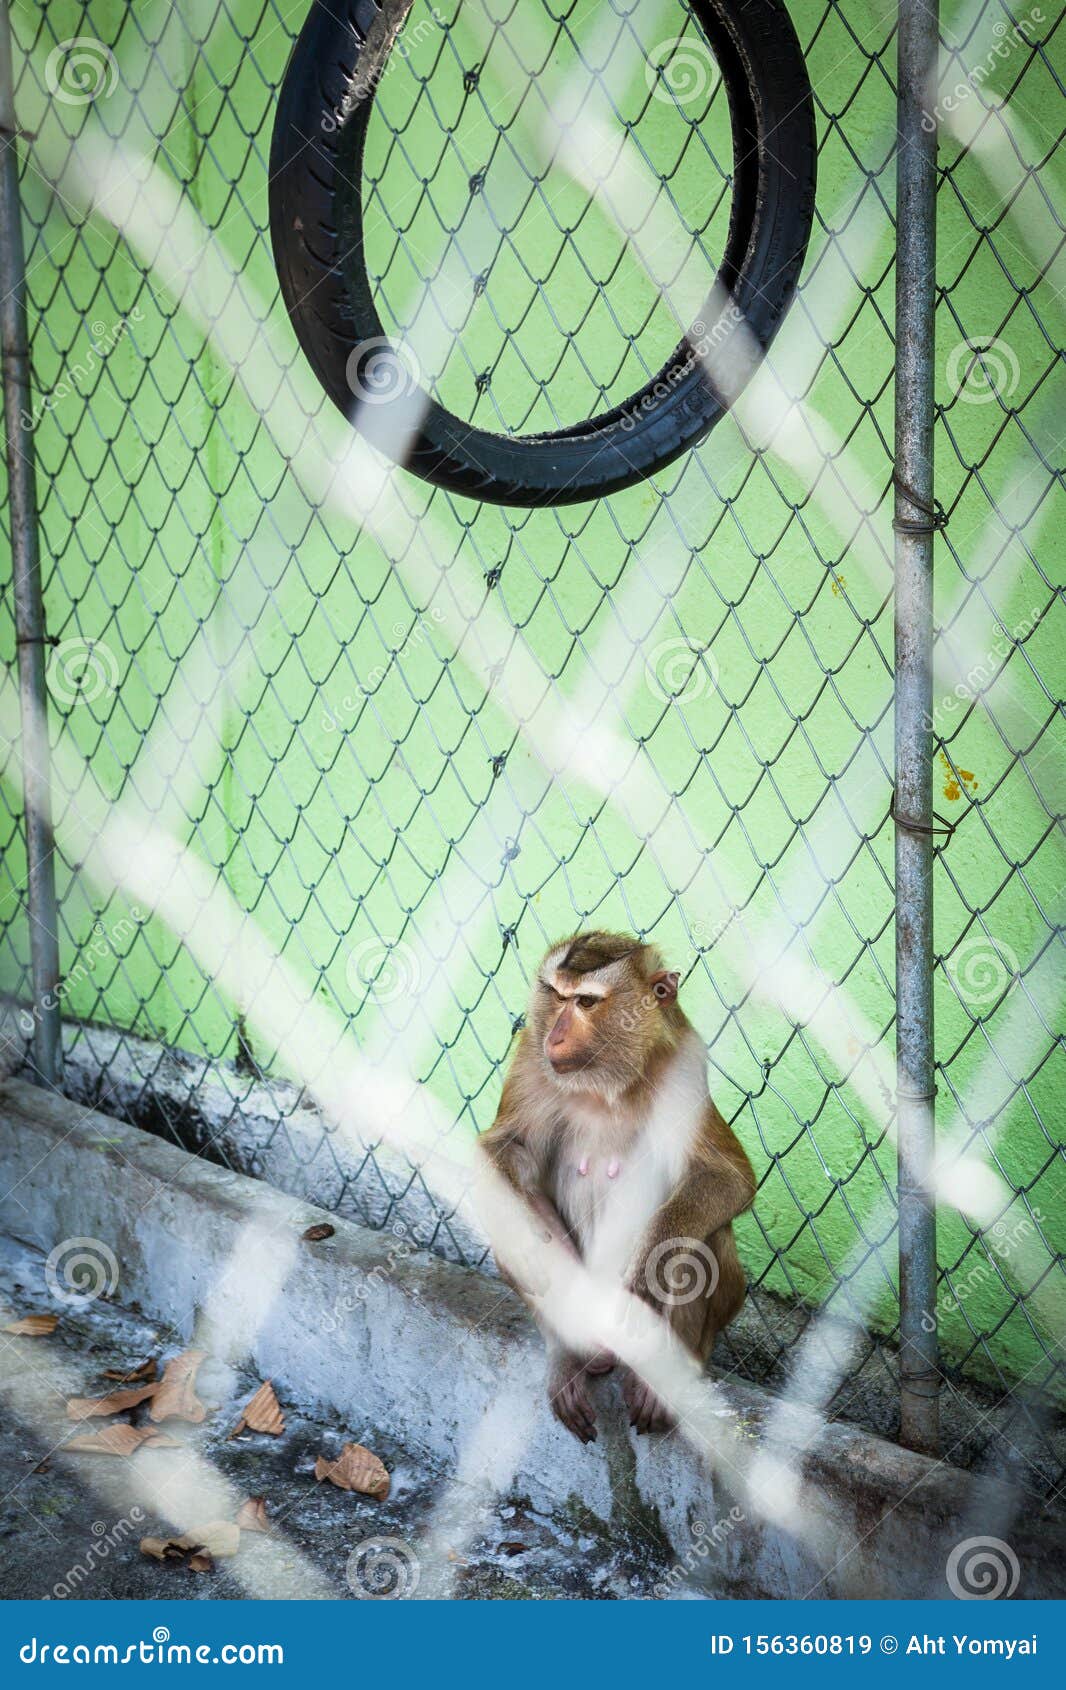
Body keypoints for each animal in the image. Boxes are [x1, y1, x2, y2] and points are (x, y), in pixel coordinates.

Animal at [478, 930, 755, 1444]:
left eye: (586, 1002)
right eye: (556, 995)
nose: (555, 1034)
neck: (607, 1082)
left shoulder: (685, 1068)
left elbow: (725, 1175)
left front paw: (654, 1260)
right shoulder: (531, 1059)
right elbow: (507, 1147)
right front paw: (523, 1235)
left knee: (707, 1238)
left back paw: (662, 1384)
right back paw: (566, 1360)